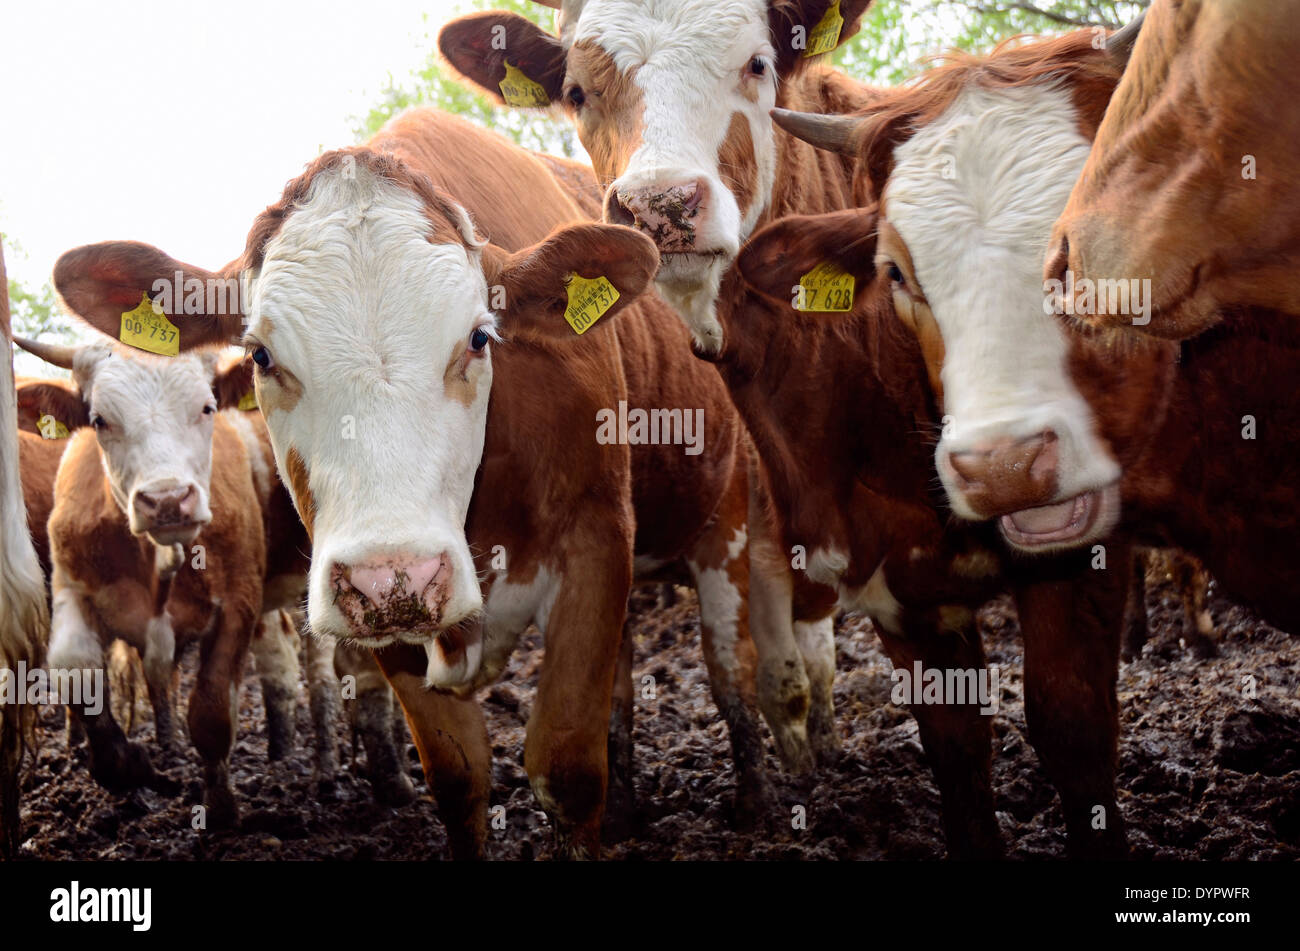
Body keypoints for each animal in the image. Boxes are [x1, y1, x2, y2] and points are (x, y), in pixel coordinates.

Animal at [46, 108, 800, 856]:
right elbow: (460, 776)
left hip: (726, 529)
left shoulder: (596, 544)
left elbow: (567, 765)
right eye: (260, 355)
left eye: (478, 338)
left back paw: (754, 797)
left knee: (730, 669)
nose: (395, 576)